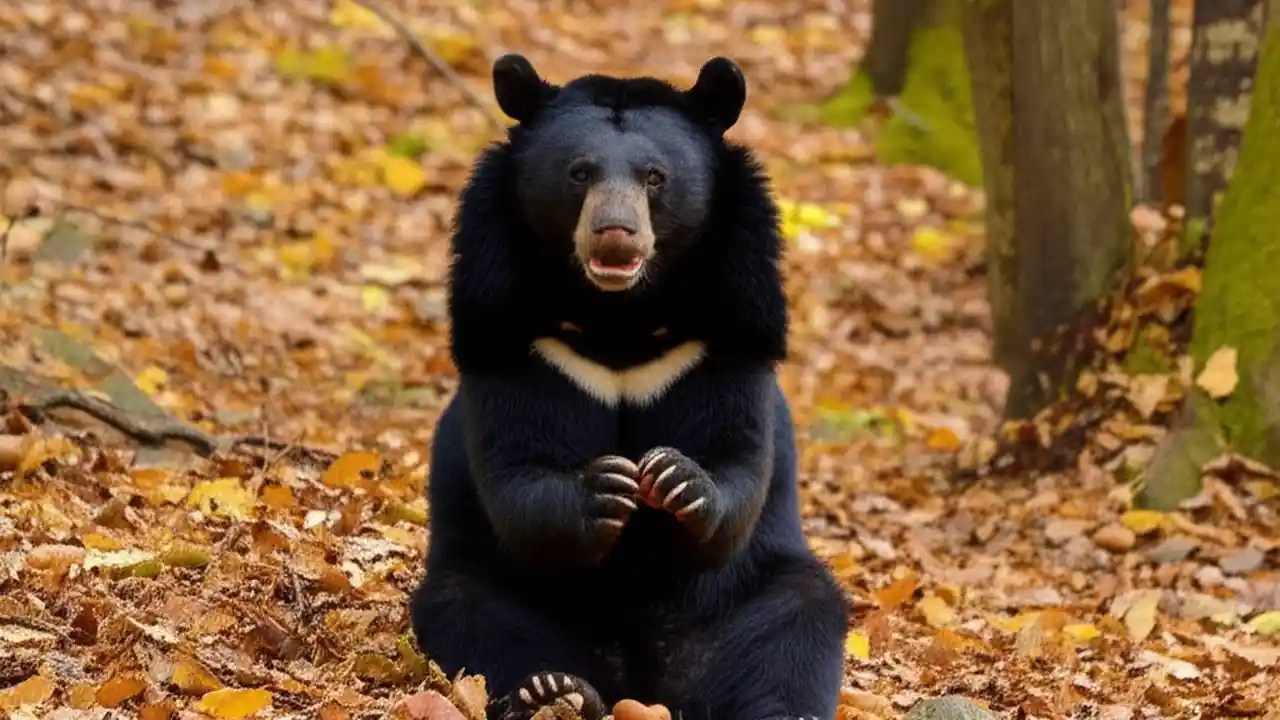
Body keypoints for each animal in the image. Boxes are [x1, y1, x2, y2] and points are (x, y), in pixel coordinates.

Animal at [410, 53, 850, 720]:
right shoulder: (517, 337)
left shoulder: (720, 338)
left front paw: (676, 478)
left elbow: (738, 459)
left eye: (655, 178)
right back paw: (555, 691)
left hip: (736, 599)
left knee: (795, 622)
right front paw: (607, 486)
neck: (619, 323)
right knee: (471, 614)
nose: (615, 233)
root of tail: (643, 678)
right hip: (515, 595)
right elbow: (519, 471)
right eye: (579, 173)